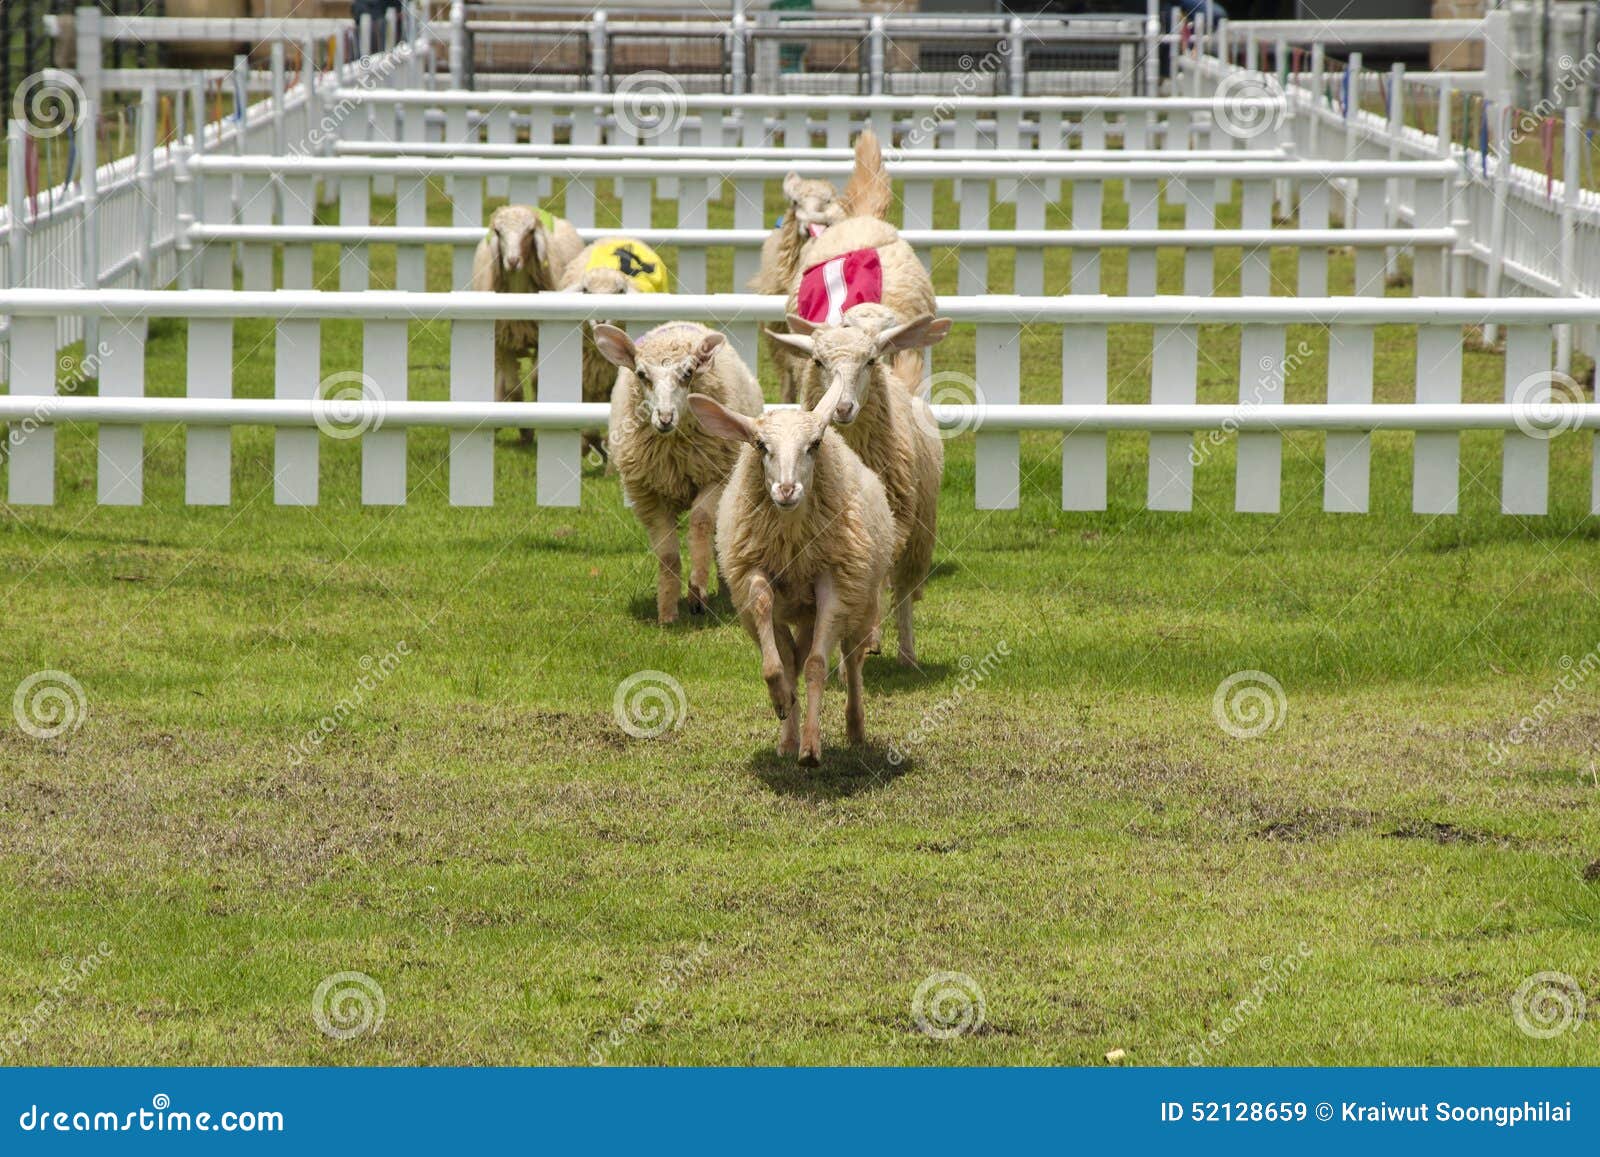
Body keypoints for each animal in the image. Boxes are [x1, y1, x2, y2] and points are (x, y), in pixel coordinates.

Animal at [470, 205, 584, 442]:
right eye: (498, 232)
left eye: (530, 232)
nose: (513, 261)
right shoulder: (504, 339)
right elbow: (513, 388)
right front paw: (524, 430)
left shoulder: (542, 339)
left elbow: (536, 380)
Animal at [593, 322, 763, 625]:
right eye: (641, 374)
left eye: (688, 373)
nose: (664, 418)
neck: (672, 451)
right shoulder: (648, 497)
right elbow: (668, 554)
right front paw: (667, 612)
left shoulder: (716, 477)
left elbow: (700, 522)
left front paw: (697, 589)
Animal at [690, 378, 896, 765]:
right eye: (760, 445)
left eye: (814, 445)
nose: (786, 490)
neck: (791, 542)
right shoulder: (755, 568)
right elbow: (775, 651)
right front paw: (781, 700)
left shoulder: (834, 582)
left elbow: (816, 665)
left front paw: (812, 748)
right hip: (800, 614)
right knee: (790, 656)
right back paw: (787, 734)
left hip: (860, 605)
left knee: (852, 660)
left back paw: (855, 727)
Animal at [768, 305, 951, 666]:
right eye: (818, 362)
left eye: (869, 361)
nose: (842, 407)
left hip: (917, 532)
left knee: (902, 588)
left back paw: (905, 653)